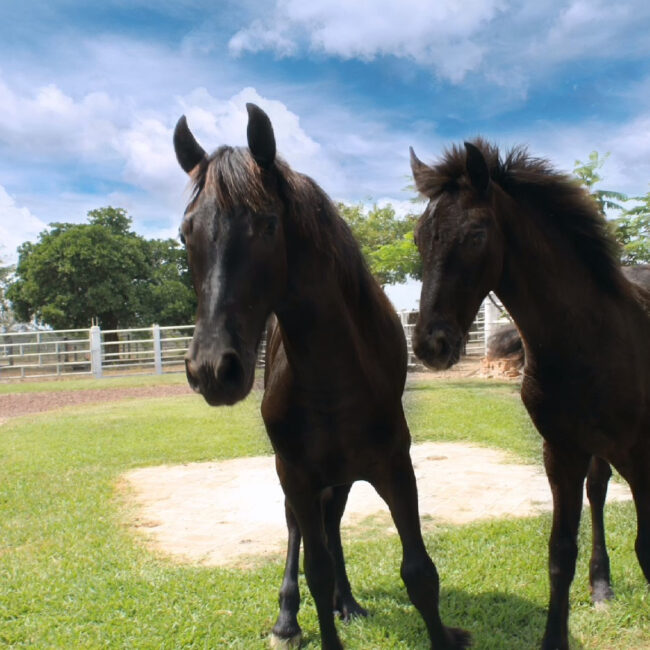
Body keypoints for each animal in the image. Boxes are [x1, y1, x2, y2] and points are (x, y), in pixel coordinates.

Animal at [173, 103, 470, 650]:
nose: (212, 369)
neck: (334, 375)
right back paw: (288, 618)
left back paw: (347, 602)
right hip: (301, 477)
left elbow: (420, 573)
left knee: (332, 527)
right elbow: (315, 568)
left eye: (268, 223)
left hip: (344, 474)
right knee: (300, 533)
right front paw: (304, 610)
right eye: (186, 233)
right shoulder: (295, 472)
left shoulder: (396, 466)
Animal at [409, 139, 650, 650]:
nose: (430, 345)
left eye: (476, 234)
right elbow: (560, 553)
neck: (590, 337)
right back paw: (601, 585)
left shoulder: (642, 454)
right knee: (598, 491)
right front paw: (554, 637)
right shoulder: (560, 451)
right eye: (420, 238)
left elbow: (646, 546)